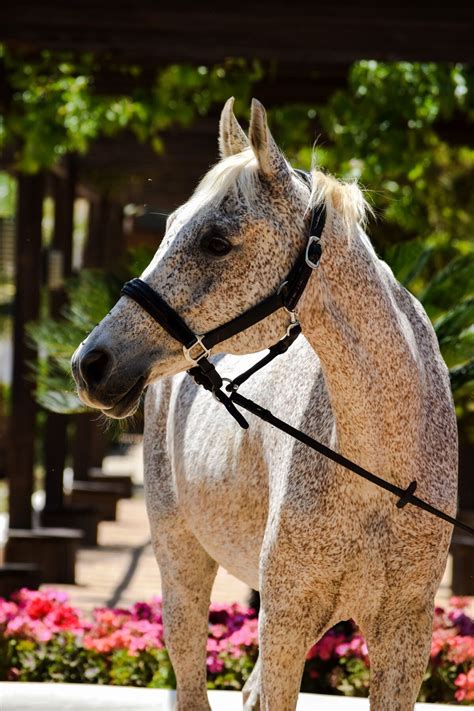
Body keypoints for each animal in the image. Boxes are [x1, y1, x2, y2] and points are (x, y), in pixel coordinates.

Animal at [72, 98, 457, 710]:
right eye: (169, 228)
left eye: (216, 242)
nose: (91, 364)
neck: (380, 478)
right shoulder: (283, 625)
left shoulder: (404, 634)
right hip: (181, 567)